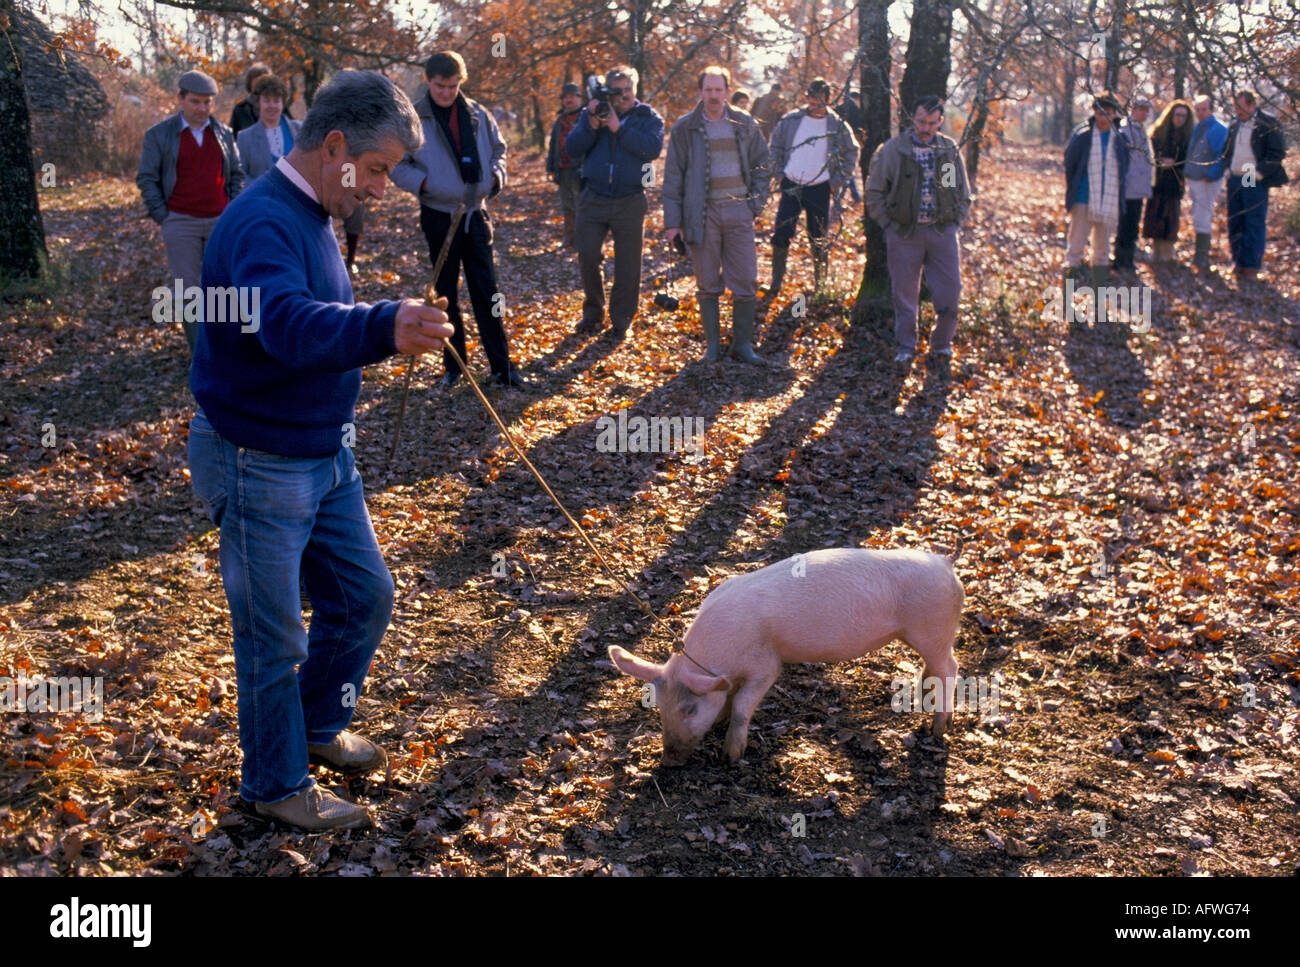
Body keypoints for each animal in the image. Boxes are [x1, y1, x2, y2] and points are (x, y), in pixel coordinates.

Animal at [609, 547, 963, 766]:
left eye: (690, 709)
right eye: (659, 707)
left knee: (952, 667)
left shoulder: (766, 666)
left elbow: (742, 706)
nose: (668, 760)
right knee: (935, 668)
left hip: (933, 630)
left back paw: (937, 729)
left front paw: (731, 756)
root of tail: (946, 564)